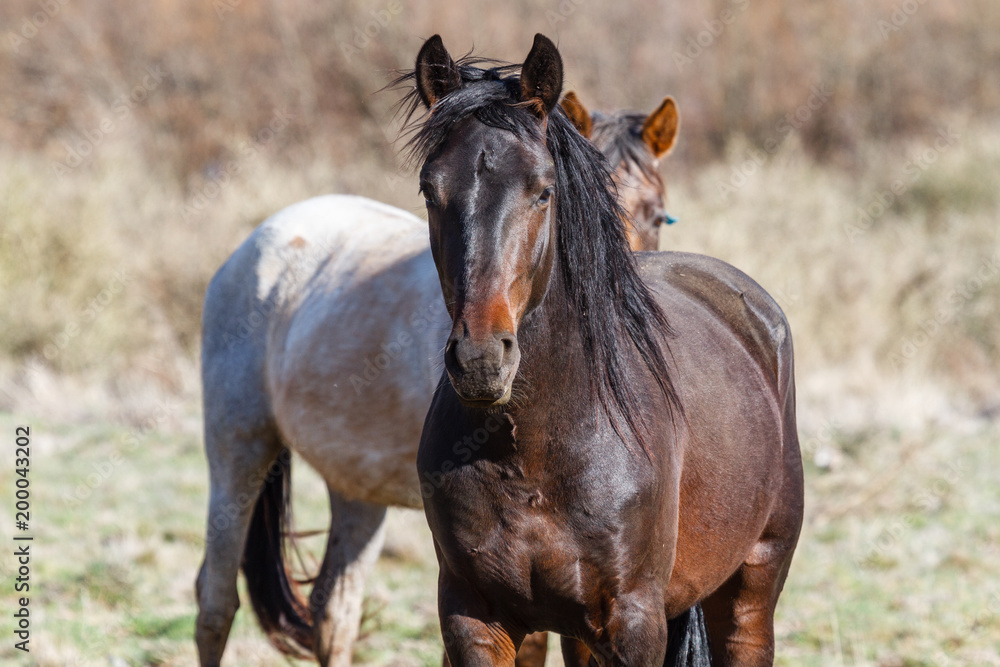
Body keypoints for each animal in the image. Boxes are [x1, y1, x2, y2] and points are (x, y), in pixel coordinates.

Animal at [193, 75, 682, 667]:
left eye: (658, 215)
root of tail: (258, 240)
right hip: (239, 451)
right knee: (216, 602)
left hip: (356, 486)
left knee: (333, 609)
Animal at [409, 34, 803, 666]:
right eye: (430, 191)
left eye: (543, 192)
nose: (480, 360)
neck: (530, 448)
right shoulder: (475, 618)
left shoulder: (633, 622)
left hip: (752, 586)